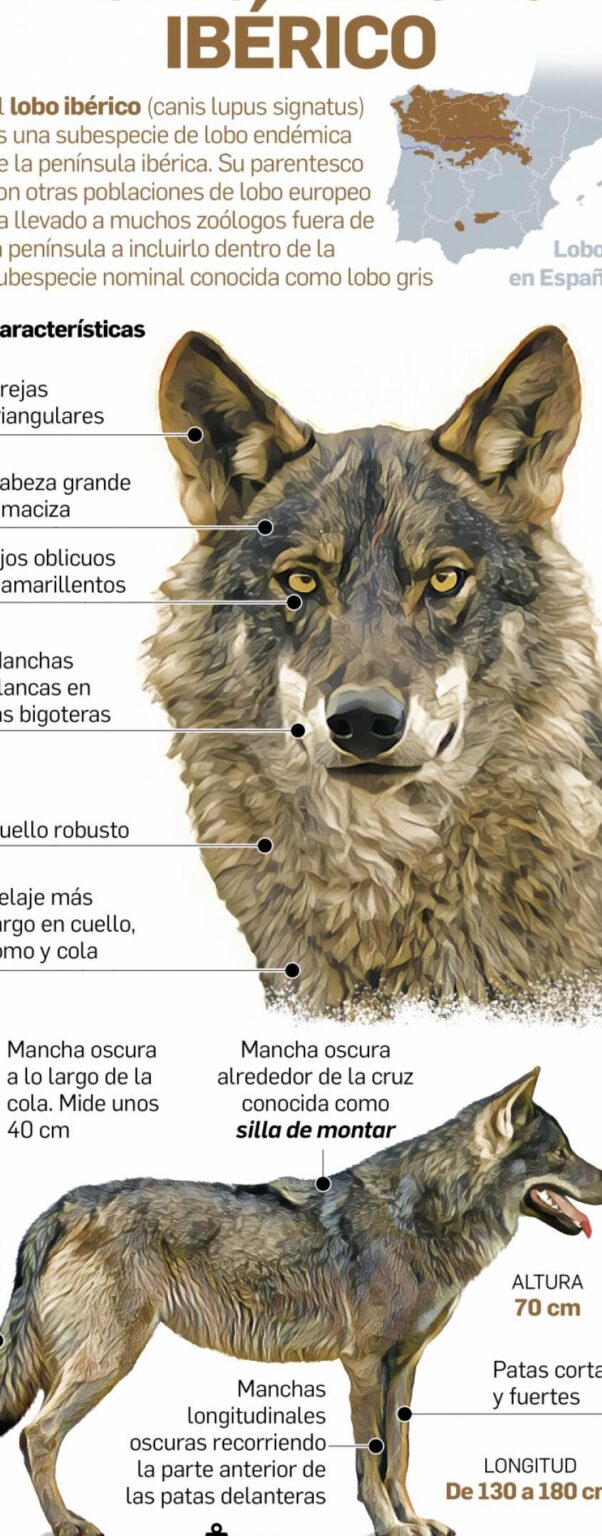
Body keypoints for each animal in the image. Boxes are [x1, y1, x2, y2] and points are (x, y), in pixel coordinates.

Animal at [1, 1069, 600, 1536]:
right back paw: (66, 1523)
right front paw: (389, 1526)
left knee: (33, 1439)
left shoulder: (404, 1366)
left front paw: (413, 1520)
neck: (425, 1215)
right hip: (107, 1362)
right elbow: (373, 1459)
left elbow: (400, 1455)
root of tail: (67, 1203)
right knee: (37, 1436)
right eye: (560, 1153)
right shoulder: (363, 1365)